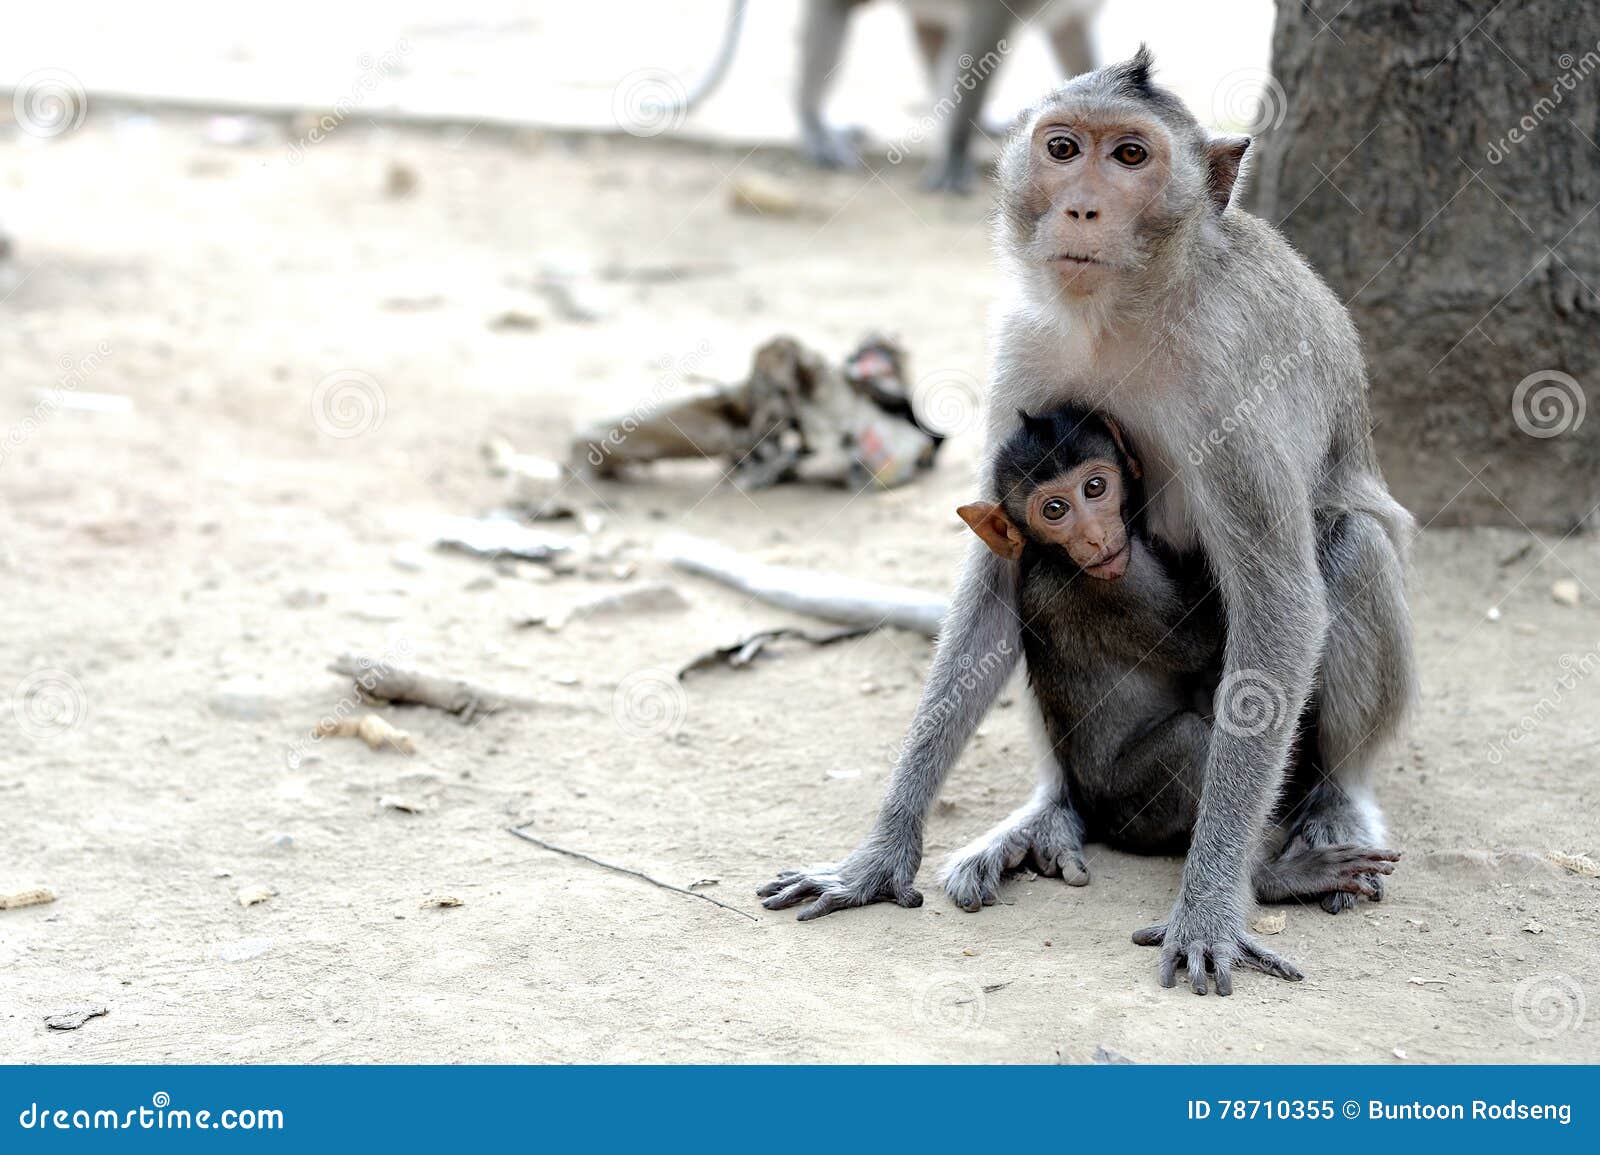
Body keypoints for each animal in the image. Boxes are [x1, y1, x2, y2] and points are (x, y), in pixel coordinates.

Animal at [937, 404, 1400, 913]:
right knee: (1189, 741)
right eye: (1054, 510)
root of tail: (1092, 811)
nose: (1094, 537)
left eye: (1094, 487)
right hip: (1131, 806)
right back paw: (1270, 878)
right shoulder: (1122, 589)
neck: (1053, 558)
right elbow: (1203, 646)